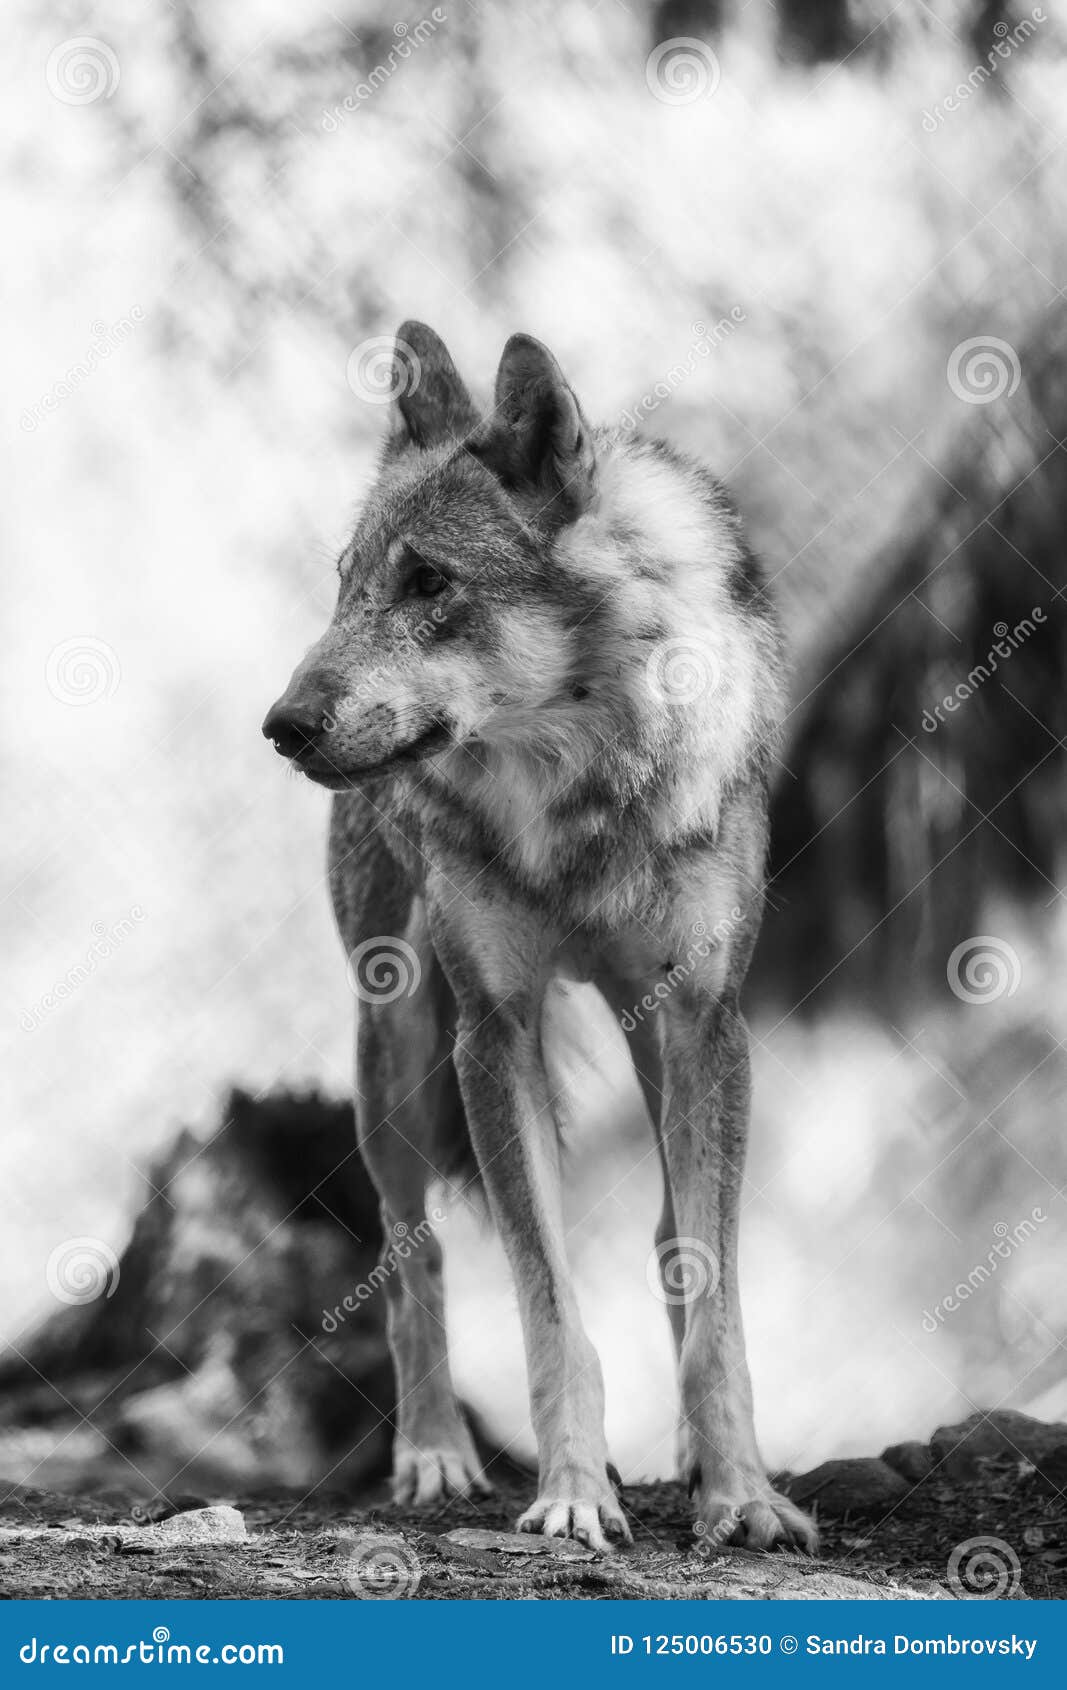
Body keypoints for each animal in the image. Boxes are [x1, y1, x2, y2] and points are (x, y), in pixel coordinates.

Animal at [263, 323, 816, 1554]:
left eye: (428, 583)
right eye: (344, 585)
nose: (282, 724)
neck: (582, 787)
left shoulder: (709, 1020)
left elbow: (711, 1287)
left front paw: (741, 1494)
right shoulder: (493, 1029)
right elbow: (548, 1304)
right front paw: (570, 1492)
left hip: (649, 1037)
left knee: (667, 1235)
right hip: (395, 1047)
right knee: (408, 1252)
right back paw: (432, 1455)